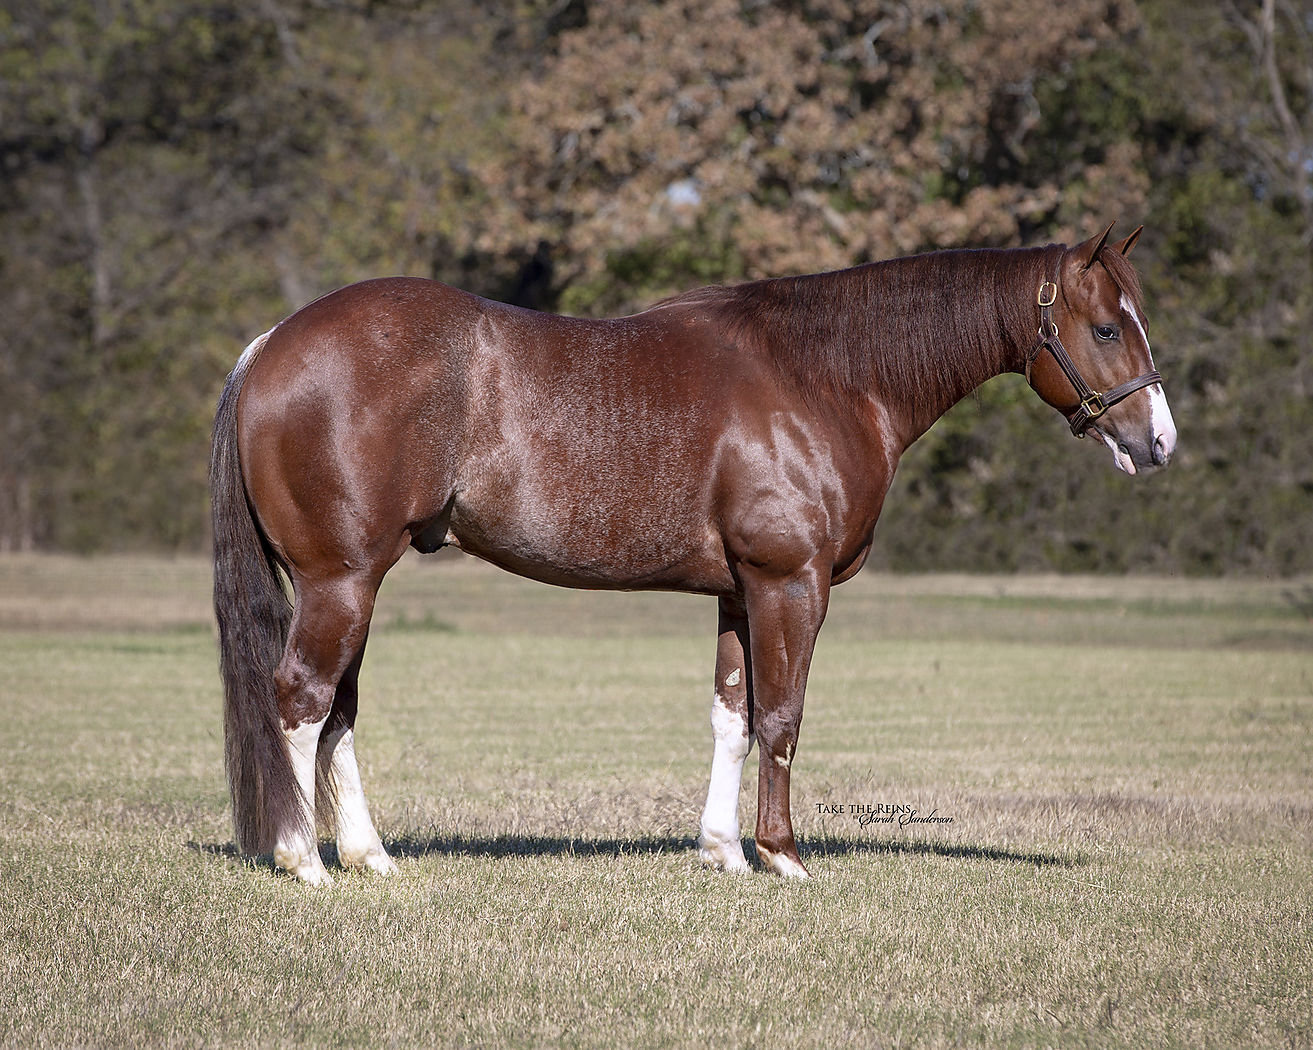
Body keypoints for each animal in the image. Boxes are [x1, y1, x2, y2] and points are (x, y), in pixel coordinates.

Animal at [211, 222, 1176, 885]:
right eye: (1105, 329)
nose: (1158, 441)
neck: (823, 376)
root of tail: (272, 344)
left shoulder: (740, 592)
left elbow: (731, 716)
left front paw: (723, 852)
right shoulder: (792, 582)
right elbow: (782, 716)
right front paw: (782, 855)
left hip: (352, 585)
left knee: (336, 712)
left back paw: (369, 855)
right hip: (341, 582)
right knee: (300, 700)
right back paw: (304, 861)